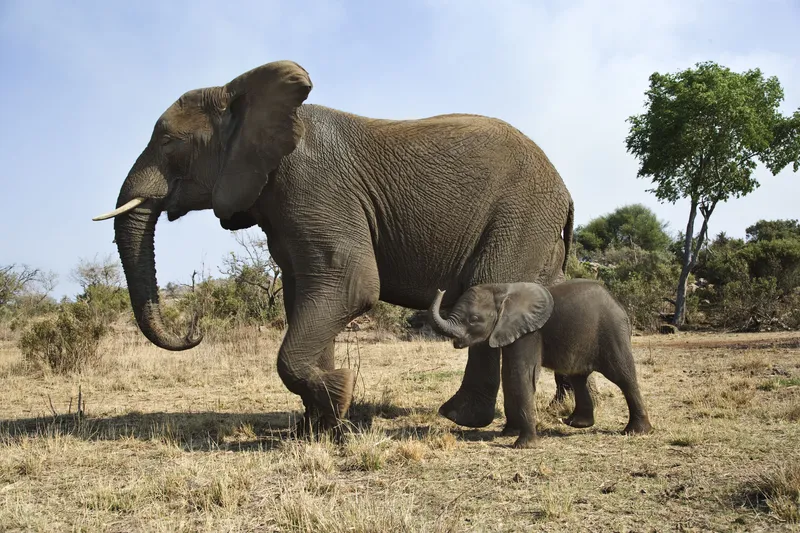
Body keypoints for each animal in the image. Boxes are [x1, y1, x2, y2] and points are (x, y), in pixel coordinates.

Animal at [92, 60, 574, 433]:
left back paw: (461, 417)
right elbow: (306, 294)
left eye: (169, 141)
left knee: (487, 288)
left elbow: (350, 285)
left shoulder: (313, 184)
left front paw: (340, 397)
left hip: (520, 214)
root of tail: (565, 192)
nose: (194, 330)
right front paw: (318, 427)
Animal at [428, 279, 653, 448]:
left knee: (623, 376)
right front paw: (509, 432)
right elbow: (508, 375)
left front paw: (523, 445)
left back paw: (636, 432)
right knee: (578, 377)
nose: (441, 289)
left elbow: (521, 375)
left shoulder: (530, 333)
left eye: (474, 319)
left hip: (612, 332)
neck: (502, 290)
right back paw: (576, 423)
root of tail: (619, 305)